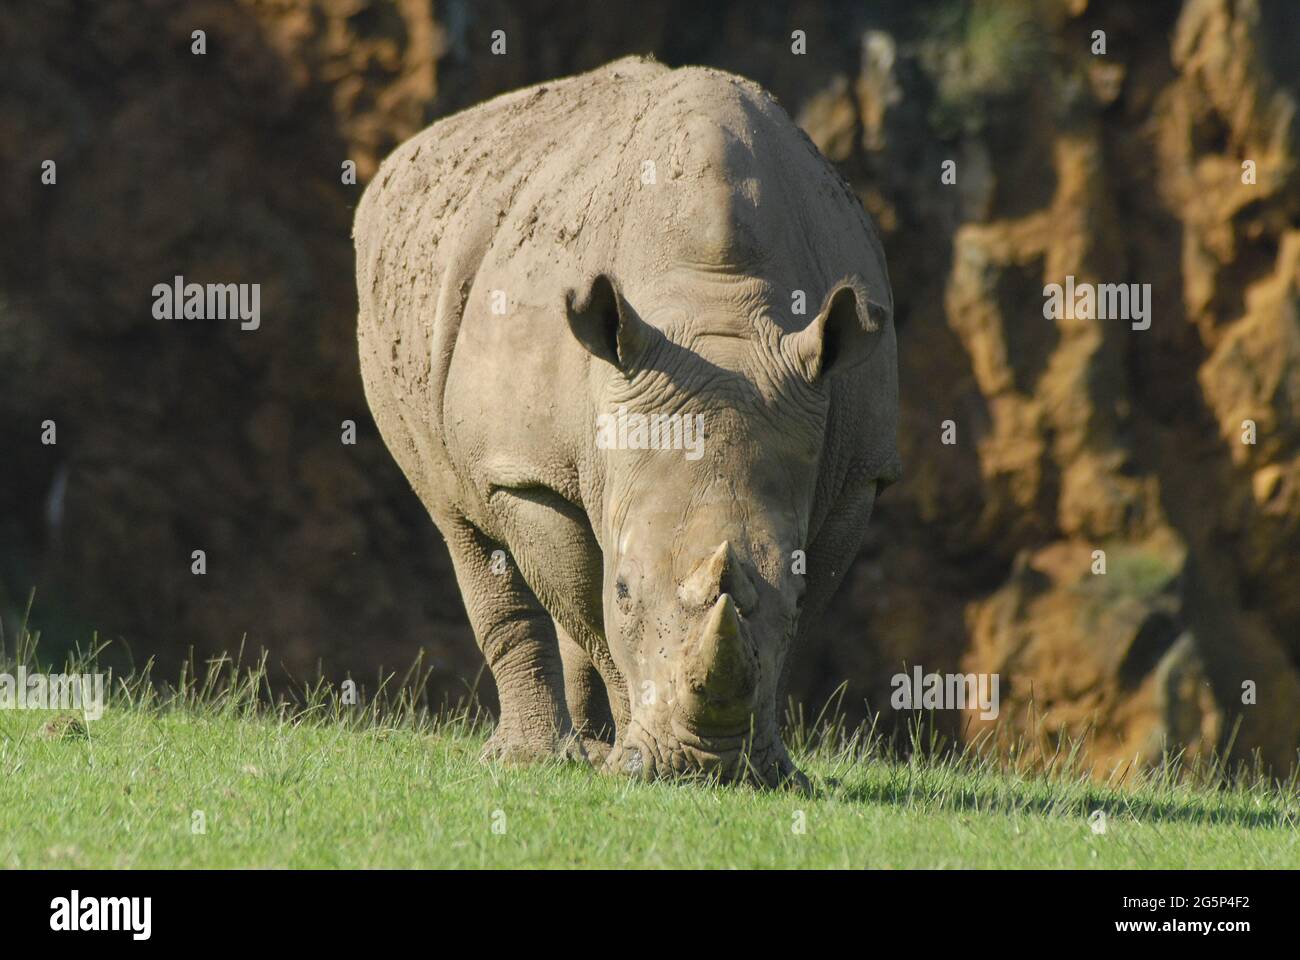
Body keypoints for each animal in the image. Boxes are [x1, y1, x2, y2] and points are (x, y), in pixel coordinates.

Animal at [354, 56, 899, 787]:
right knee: (464, 521)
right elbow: (592, 612)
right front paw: (628, 763)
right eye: (626, 589)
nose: (707, 766)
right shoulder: (527, 470)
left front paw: (776, 768)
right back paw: (536, 758)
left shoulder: (856, 475)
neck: (716, 309)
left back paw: (583, 751)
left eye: (795, 581)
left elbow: (800, 618)